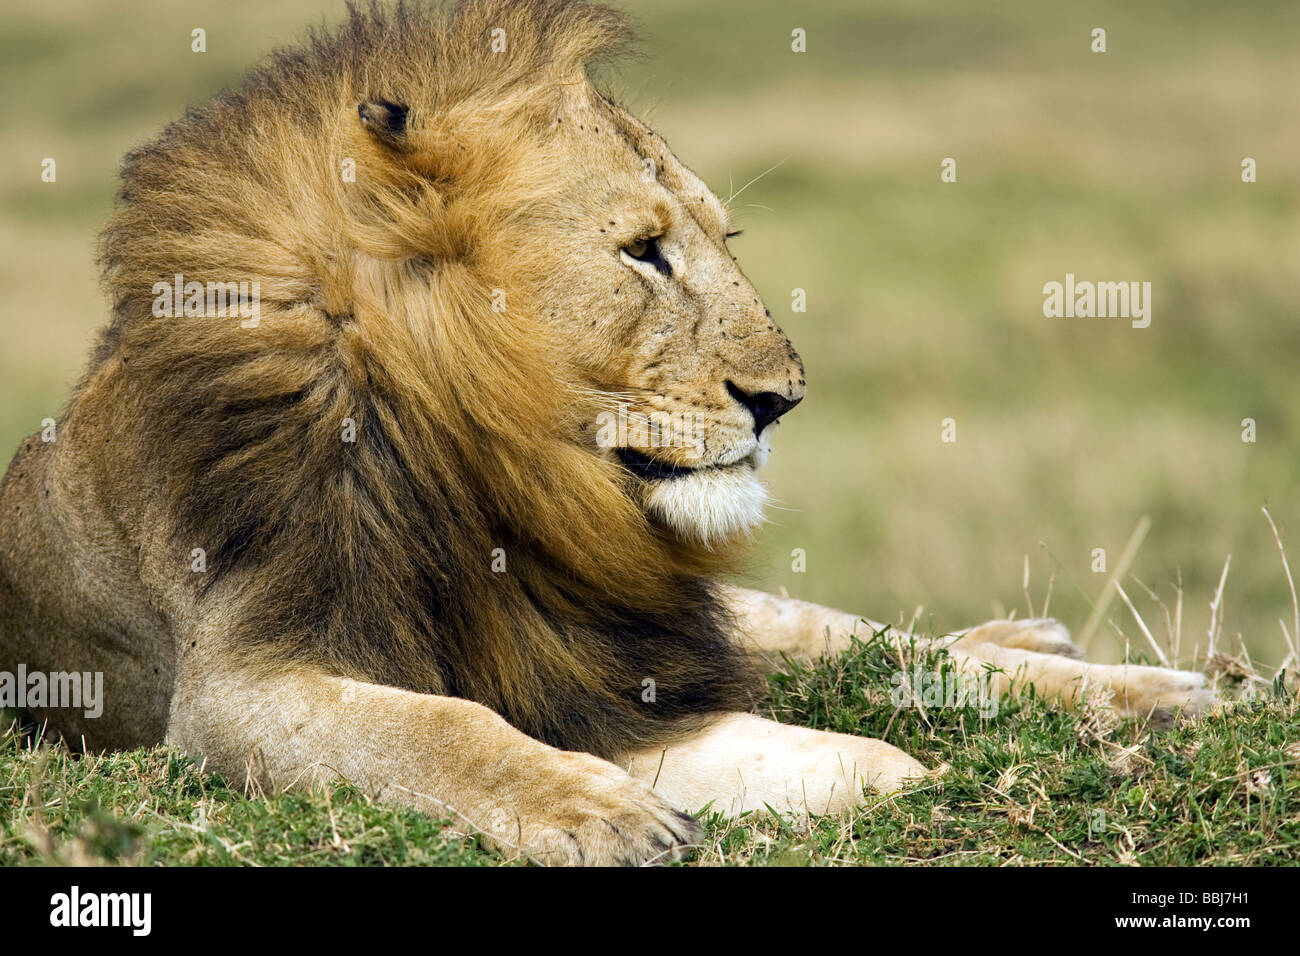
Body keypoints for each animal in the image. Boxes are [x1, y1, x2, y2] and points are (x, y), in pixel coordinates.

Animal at [0, 0, 1214, 865]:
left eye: (722, 239)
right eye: (642, 250)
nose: (783, 397)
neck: (500, 490)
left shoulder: (612, 654)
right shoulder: (237, 691)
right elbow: (444, 728)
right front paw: (607, 809)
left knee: (859, 633)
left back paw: (1139, 684)